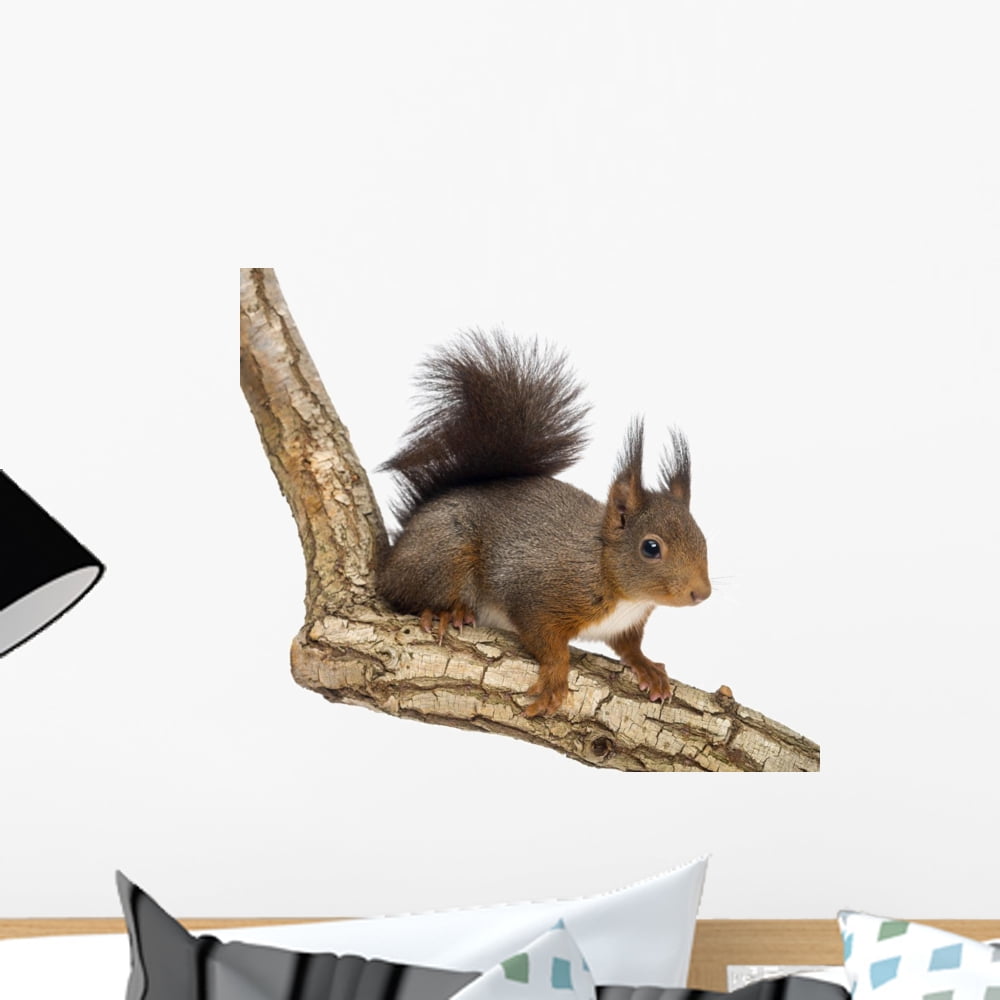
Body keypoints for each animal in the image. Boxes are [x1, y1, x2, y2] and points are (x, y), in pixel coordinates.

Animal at [376, 330, 711, 718]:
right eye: (651, 547)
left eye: (703, 537)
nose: (702, 593)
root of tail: (403, 541)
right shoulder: (536, 595)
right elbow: (546, 640)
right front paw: (554, 678)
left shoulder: (625, 625)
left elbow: (629, 646)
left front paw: (646, 667)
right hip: (444, 553)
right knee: (403, 593)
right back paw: (446, 611)